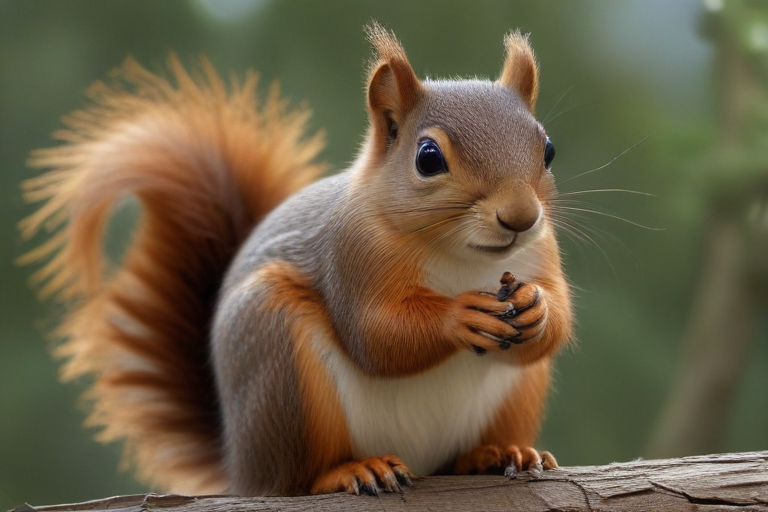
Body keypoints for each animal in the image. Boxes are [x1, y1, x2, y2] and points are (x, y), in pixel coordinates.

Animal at [20, 22, 573, 497]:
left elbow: (556, 325)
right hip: (279, 362)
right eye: (428, 158)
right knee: (295, 479)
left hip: (514, 397)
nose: (521, 217)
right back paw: (352, 470)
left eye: (547, 149)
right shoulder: (350, 254)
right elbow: (376, 337)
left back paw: (498, 452)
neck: (463, 258)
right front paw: (459, 315)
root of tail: (241, 465)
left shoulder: (541, 251)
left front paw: (539, 308)